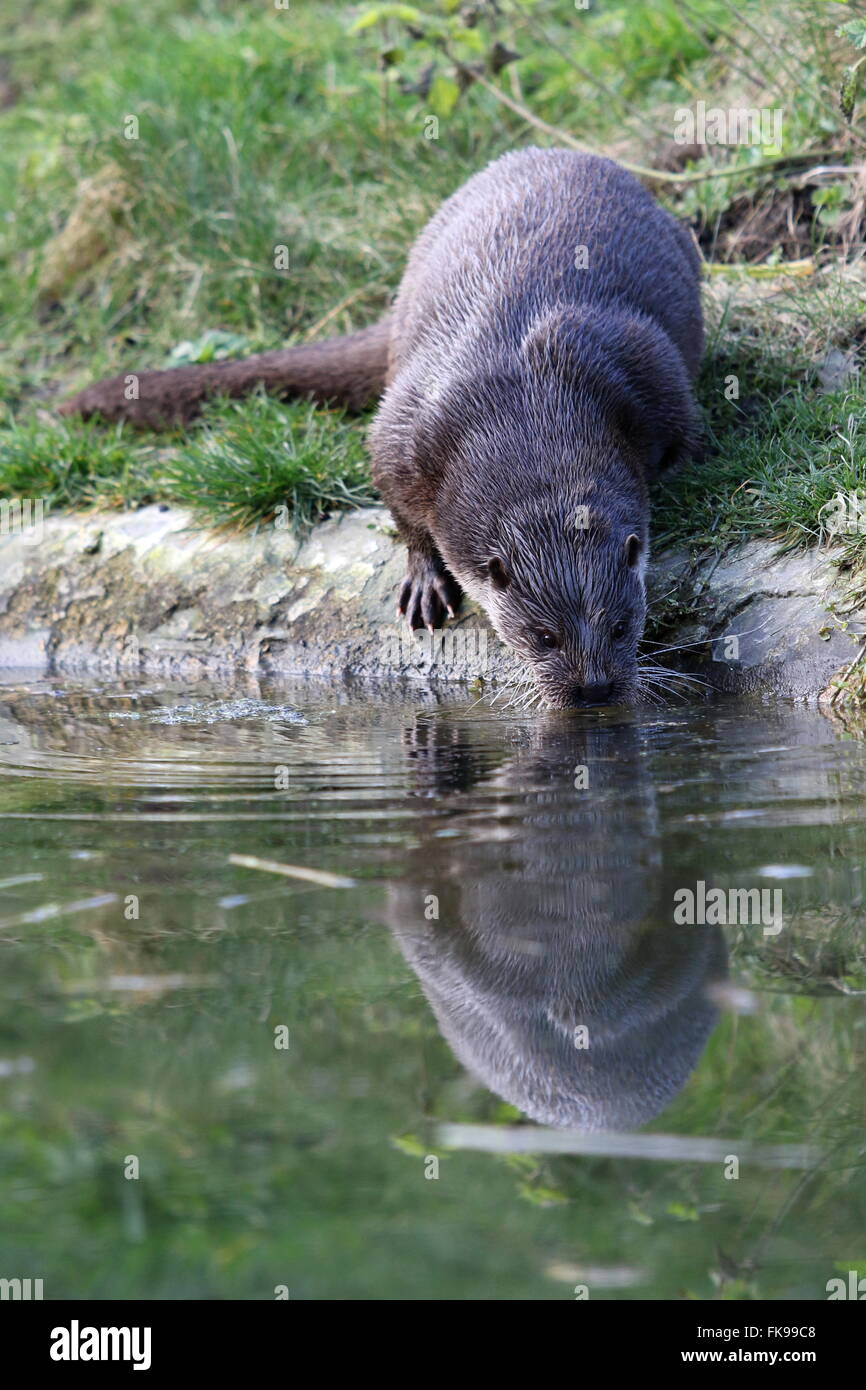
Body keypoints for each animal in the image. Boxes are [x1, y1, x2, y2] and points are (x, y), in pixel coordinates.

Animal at [60, 148, 703, 707]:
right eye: (543, 636)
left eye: (621, 625)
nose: (593, 689)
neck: (522, 405)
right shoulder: (407, 431)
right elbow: (400, 507)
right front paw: (424, 580)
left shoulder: (643, 364)